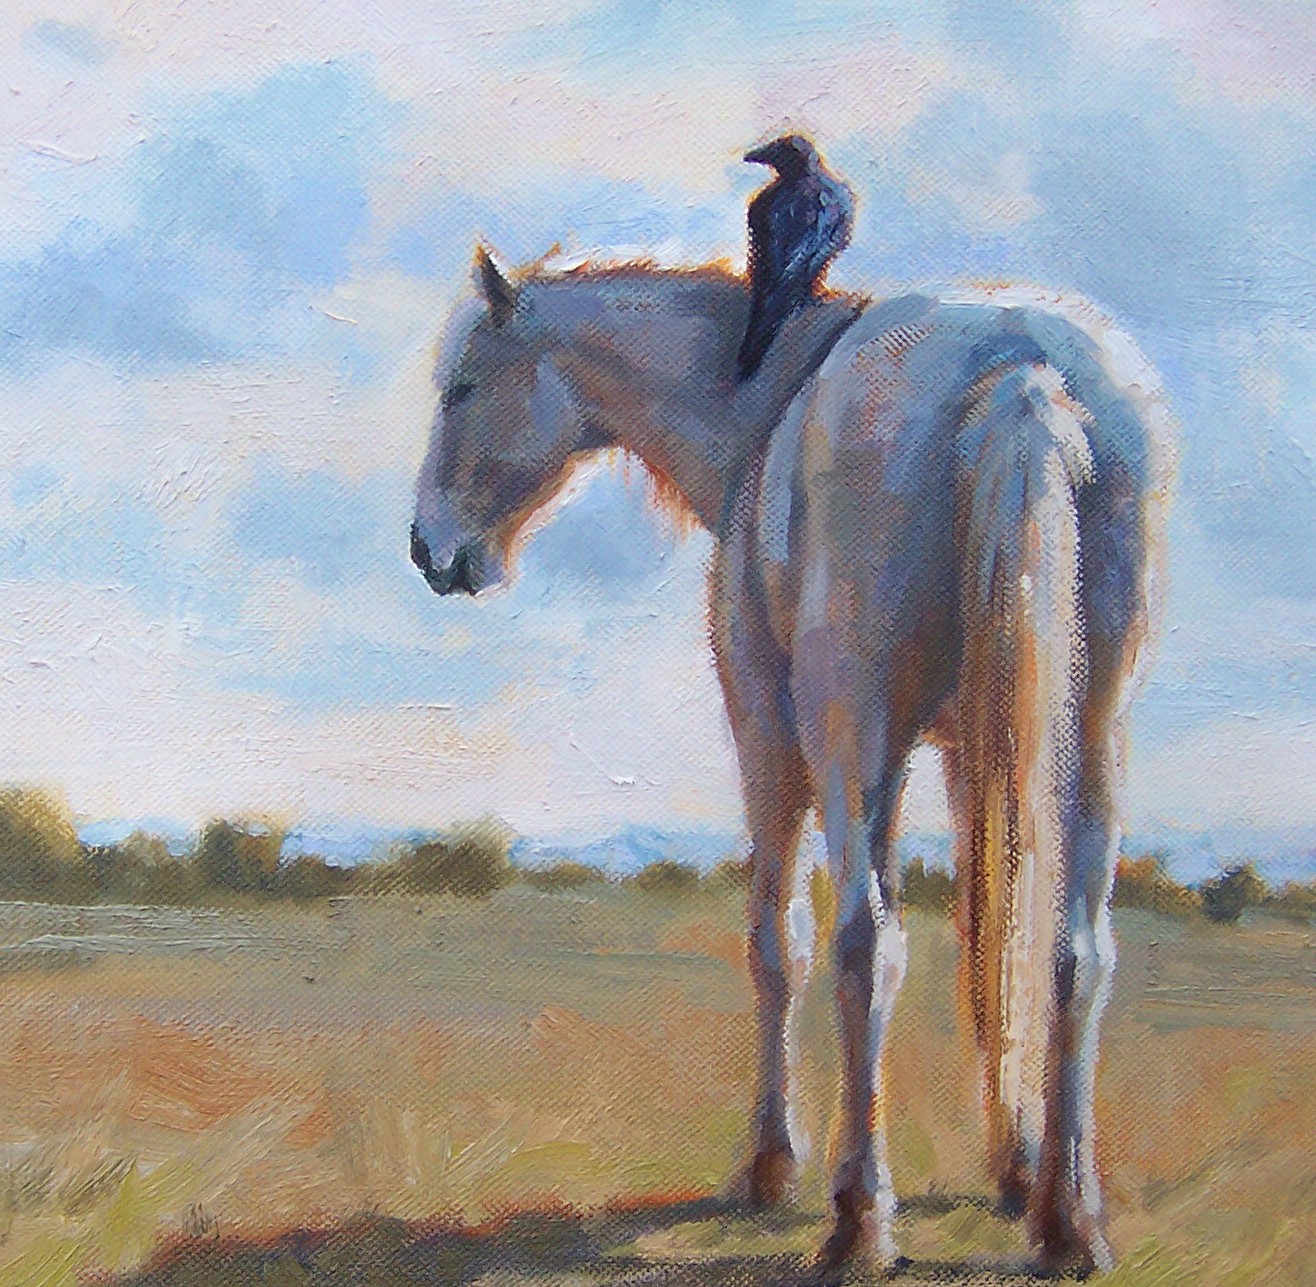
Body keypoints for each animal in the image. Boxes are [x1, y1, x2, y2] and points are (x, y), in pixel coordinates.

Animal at [410, 245, 1174, 1277]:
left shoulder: (771, 735)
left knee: (867, 942)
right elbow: (998, 922)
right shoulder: (979, 746)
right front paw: (1014, 1161)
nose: (430, 550)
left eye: (461, 387)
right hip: (1093, 726)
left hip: (848, 728)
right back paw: (1071, 1219)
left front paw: (772, 1165)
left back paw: (860, 1219)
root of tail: (1022, 371)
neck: (760, 401)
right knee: (1077, 948)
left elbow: (780, 941)